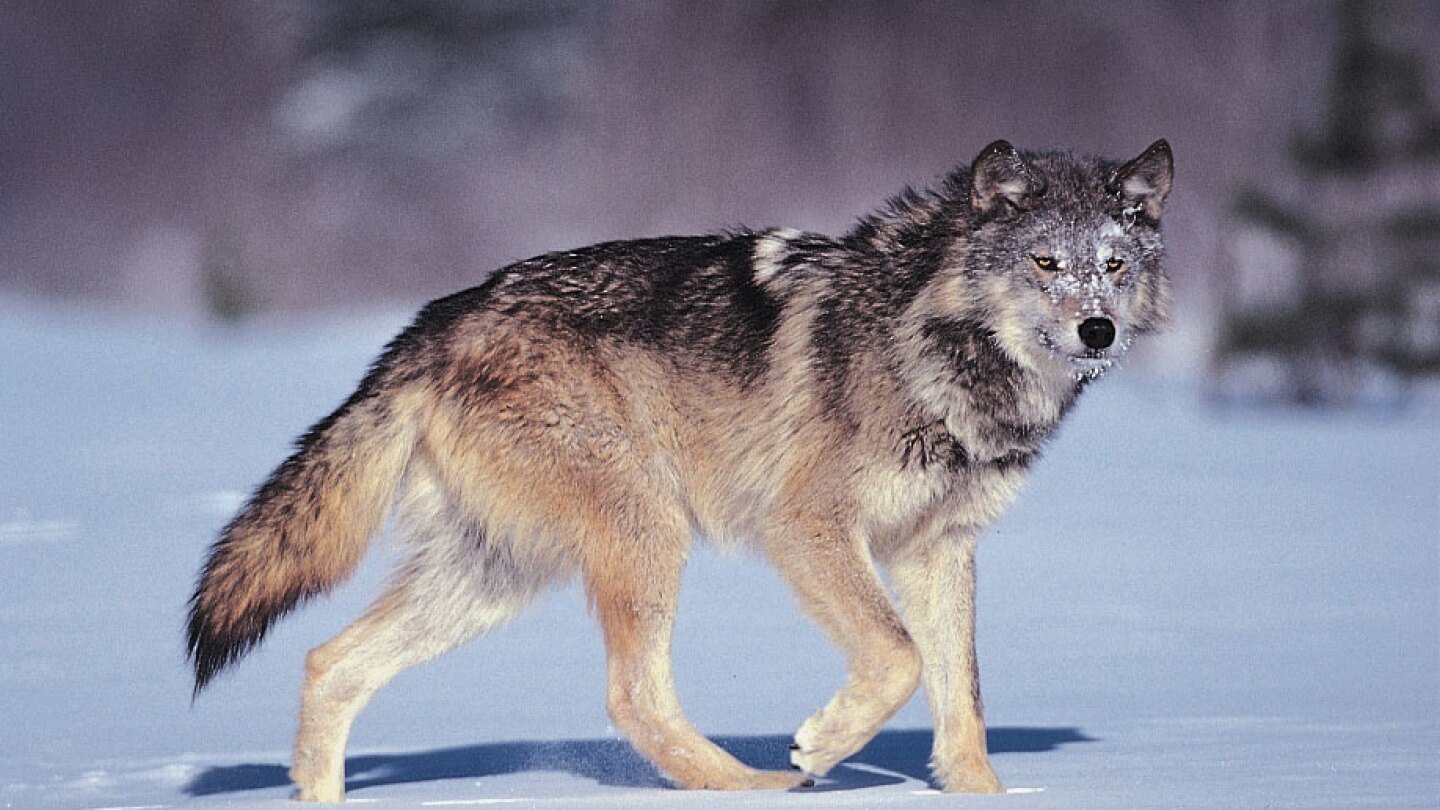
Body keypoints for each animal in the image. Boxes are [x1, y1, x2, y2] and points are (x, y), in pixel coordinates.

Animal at [187, 139, 1173, 801]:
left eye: (1113, 266)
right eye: (1045, 263)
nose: (1098, 331)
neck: (938, 351)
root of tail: (435, 322)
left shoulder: (940, 546)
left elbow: (959, 693)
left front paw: (983, 797)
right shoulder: (808, 526)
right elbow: (897, 658)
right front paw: (821, 747)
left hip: (495, 577)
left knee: (328, 662)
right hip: (645, 530)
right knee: (631, 698)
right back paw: (753, 786)